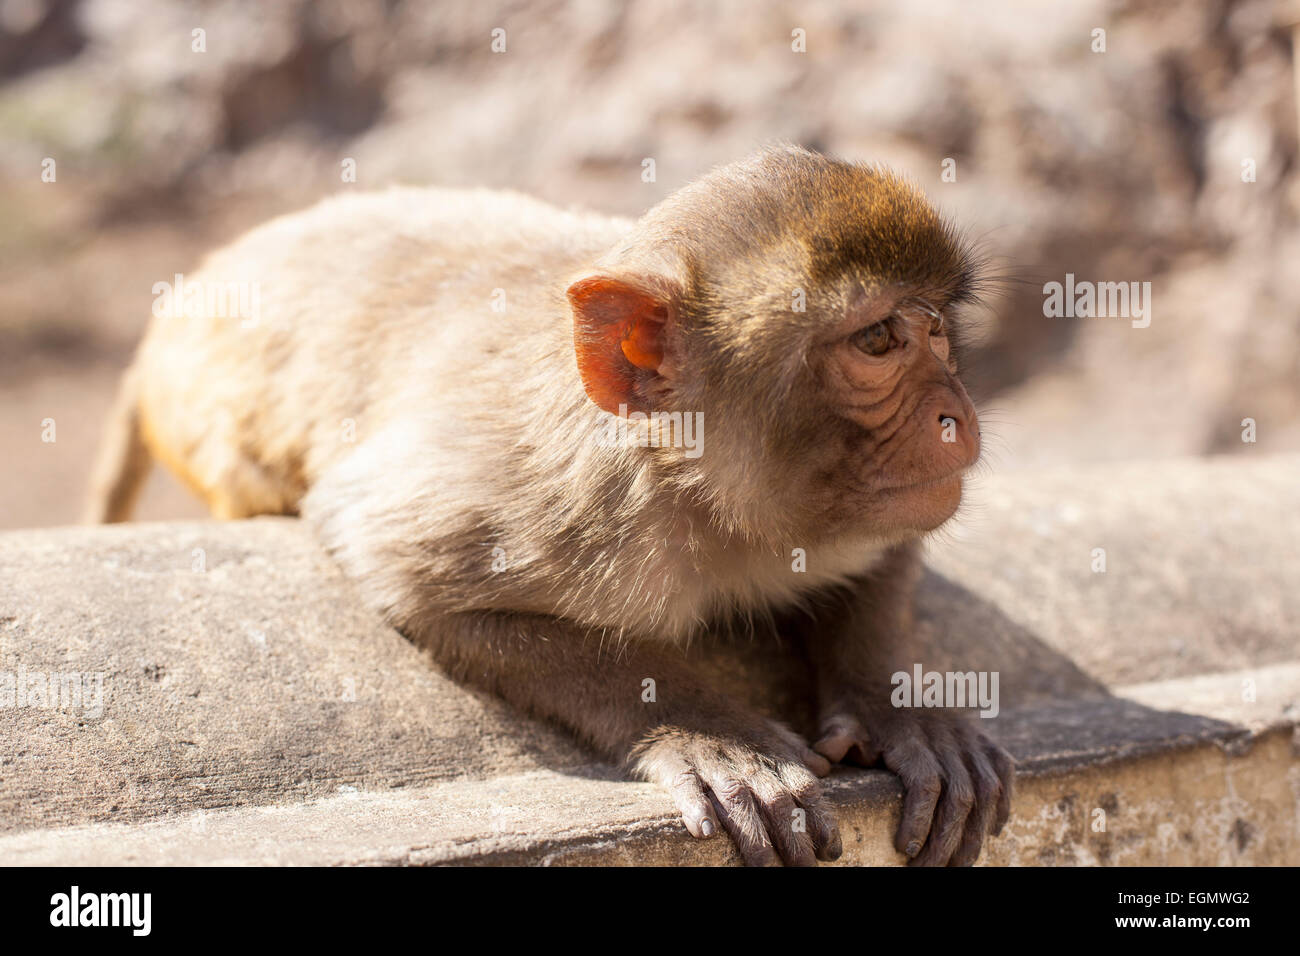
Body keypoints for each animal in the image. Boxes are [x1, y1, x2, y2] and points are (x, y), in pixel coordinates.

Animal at [87, 145, 1013, 866]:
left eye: (936, 328)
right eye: (879, 340)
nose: (956, 414)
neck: (699, 497)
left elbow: (891, 550)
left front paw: (903, 711)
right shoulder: (558, 510)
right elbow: (394, 561)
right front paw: (710, 733)